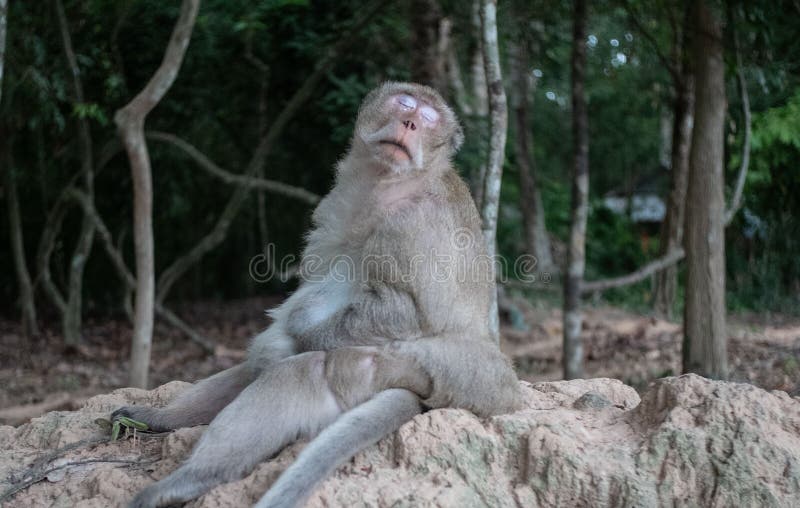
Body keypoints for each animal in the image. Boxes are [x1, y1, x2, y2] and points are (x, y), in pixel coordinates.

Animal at [112, 82, 523, 508]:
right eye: (405, 103)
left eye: (428, 118)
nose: (409, 122)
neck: (386, 185)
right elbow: (318, 279)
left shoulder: (413, 225)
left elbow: (405, 310)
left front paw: (300, 330)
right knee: (256, 367)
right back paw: (158, 420)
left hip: (392, 371)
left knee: (299, 370)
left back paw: (191, 479)